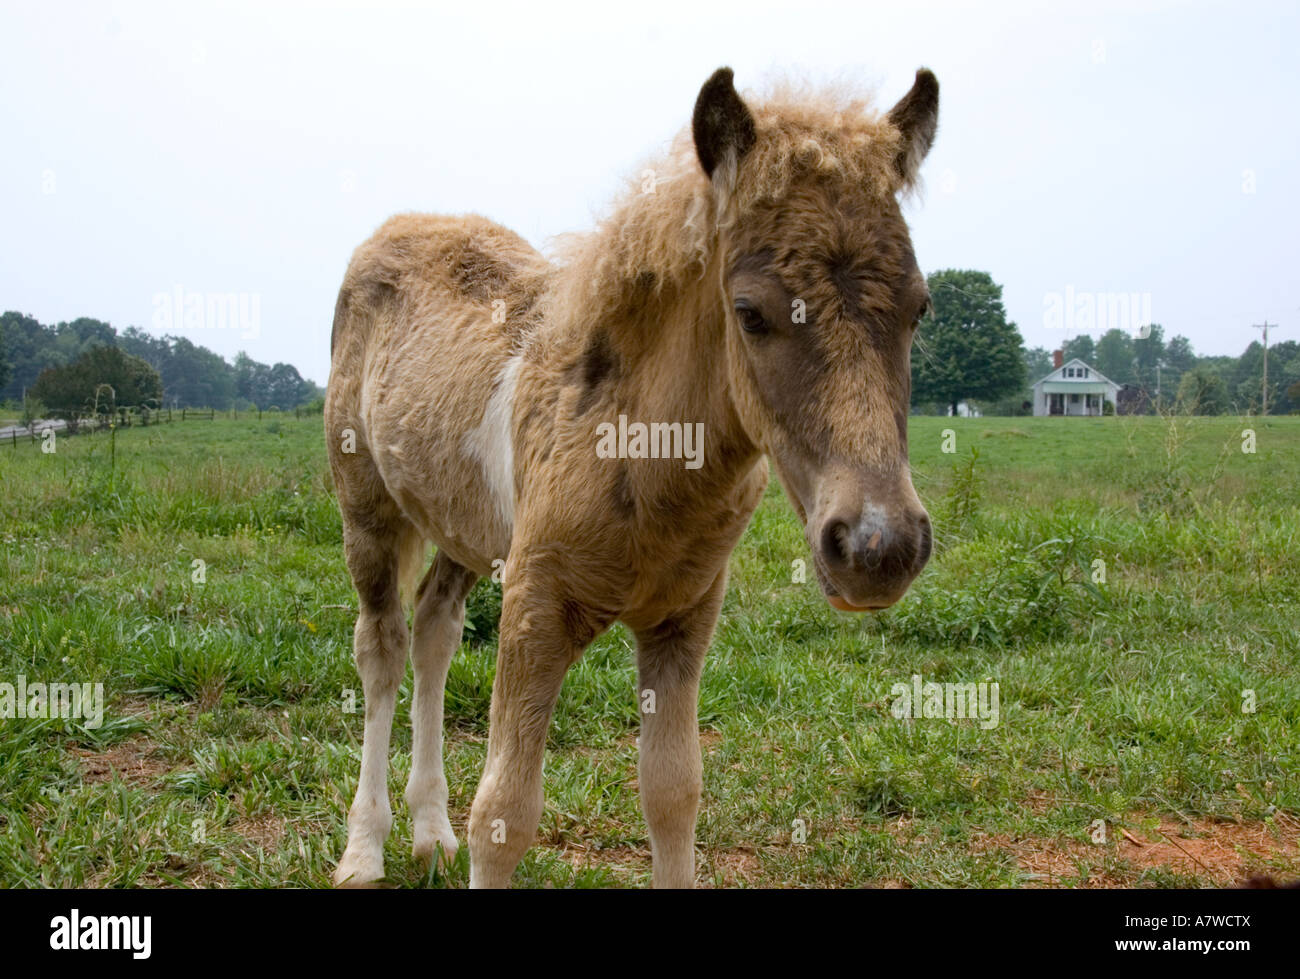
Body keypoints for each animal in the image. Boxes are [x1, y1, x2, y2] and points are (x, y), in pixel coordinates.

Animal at [325, 66, 938, 888]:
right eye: (750, 312)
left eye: (920, 307)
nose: (879, 547)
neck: (641, 453)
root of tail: (399, 226)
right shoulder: (536, 605)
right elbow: (504, 814)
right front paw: (451, 832)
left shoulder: (684, 615)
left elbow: (672, 791)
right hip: (366, 509)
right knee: (382, 647)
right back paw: (365, 848)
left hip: (463, 526)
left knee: (434, 632)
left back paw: (430, 833)